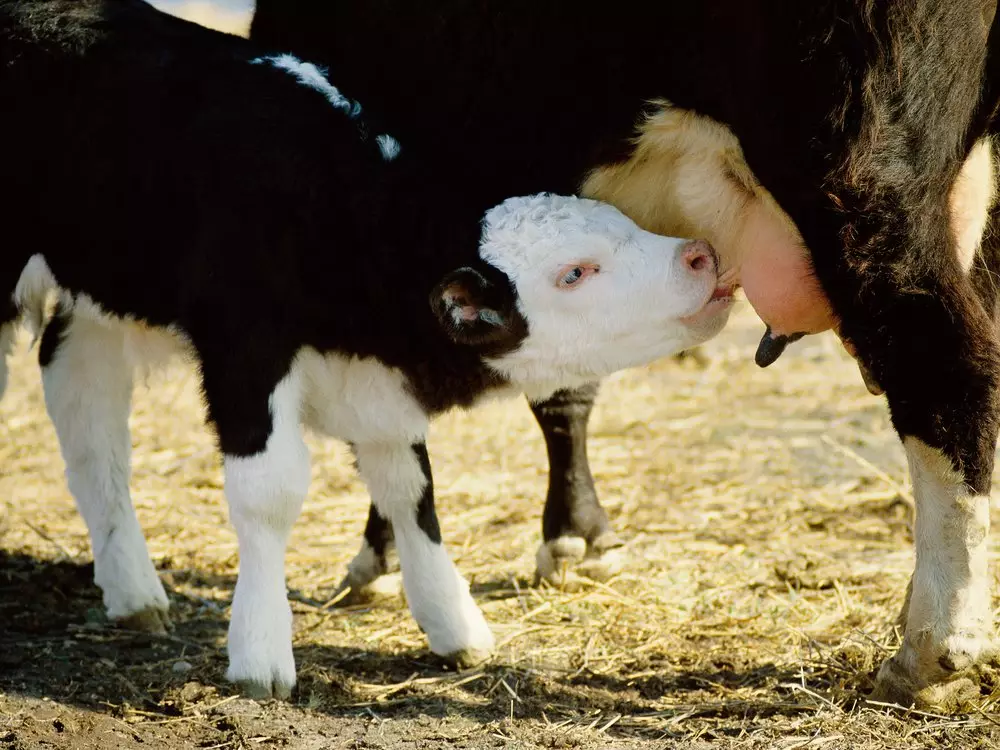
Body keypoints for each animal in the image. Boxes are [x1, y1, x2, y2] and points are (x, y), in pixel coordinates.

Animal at [0, 0, 736, 700]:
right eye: (575, 273)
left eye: (621, 223)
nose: (702, 256)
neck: (336, 219)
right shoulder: (245, 351)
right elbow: (270, 493)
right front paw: (260, 654)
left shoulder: (378, 386)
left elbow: (411, 487)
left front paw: (454, 624)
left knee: (84, 409)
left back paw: (132, 591)